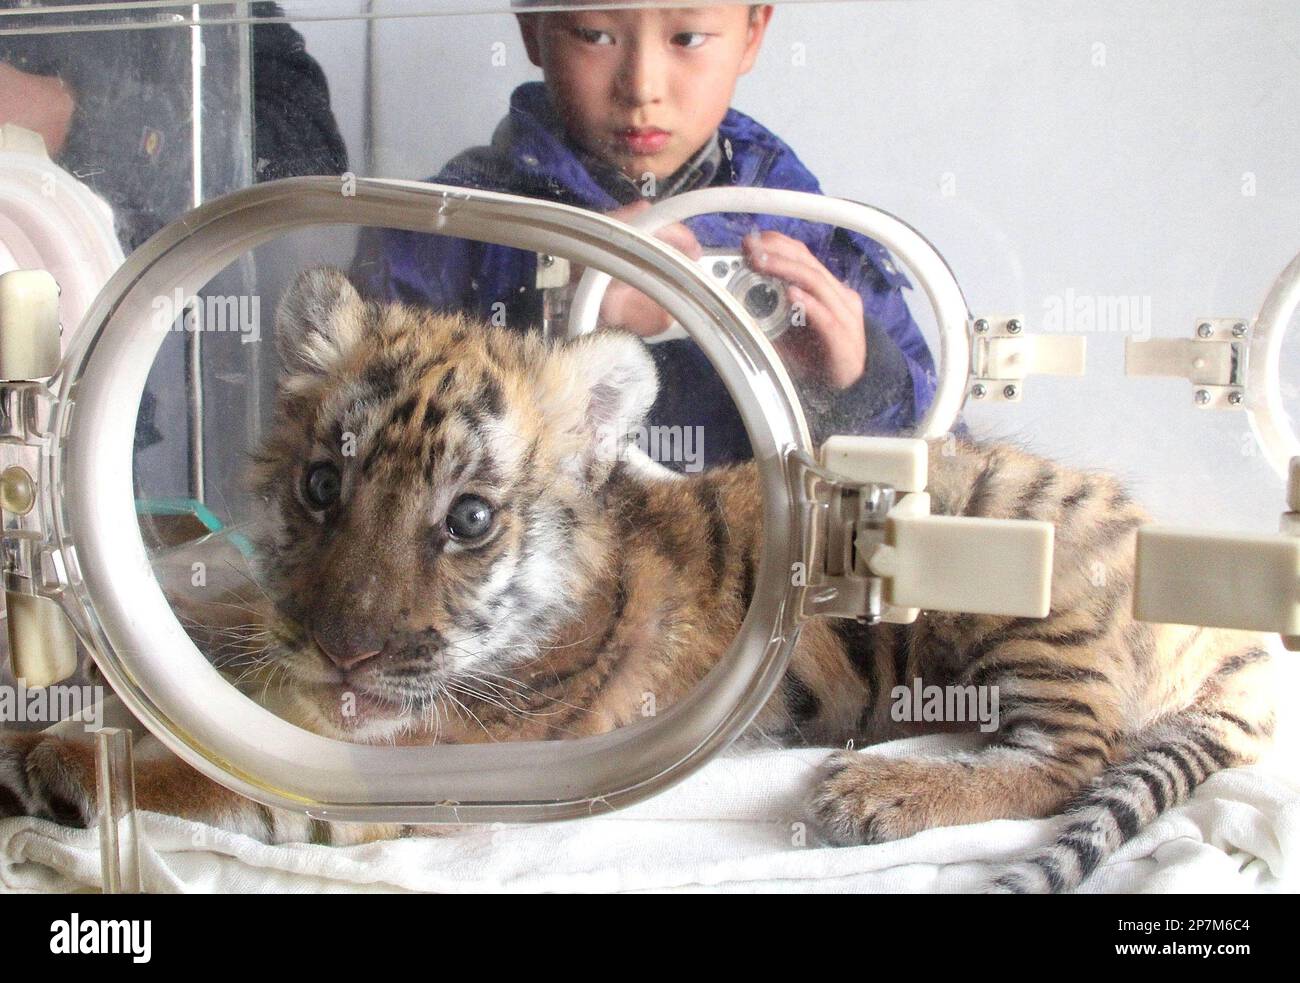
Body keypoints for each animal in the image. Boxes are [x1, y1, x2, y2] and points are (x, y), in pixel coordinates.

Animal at [0, 267, 1274, 893]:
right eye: (322, 484)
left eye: (469, 519)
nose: (346, 650)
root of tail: (1238, 631)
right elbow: (209, 629)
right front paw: (68, 693)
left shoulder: (415, 764)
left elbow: (210, 774)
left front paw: (61, 760)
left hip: (1027, 587)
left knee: (1069, 755)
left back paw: (879, 793)